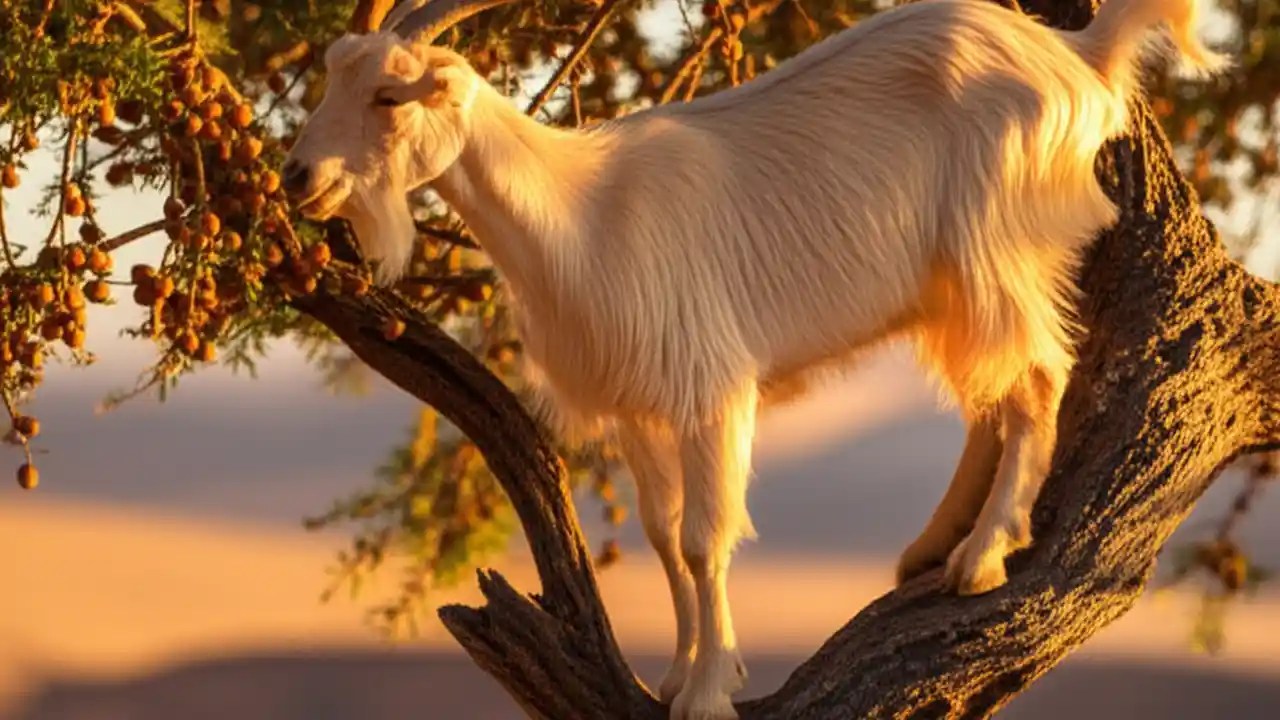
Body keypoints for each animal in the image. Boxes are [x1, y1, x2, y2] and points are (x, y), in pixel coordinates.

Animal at [282, 0, 1225, 717]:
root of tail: (1078, 59)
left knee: (1037, 378)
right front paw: (678, 673)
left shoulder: (711, 388)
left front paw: (707, 692)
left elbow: (709, 540)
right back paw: (931, 546)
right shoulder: (637, 405)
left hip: (995, 250)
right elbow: (665, 538)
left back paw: (979, 558)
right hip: (951, 288)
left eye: (391, 95)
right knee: (990, 399)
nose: (297, 177)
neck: (579, 214)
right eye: (332, 78)